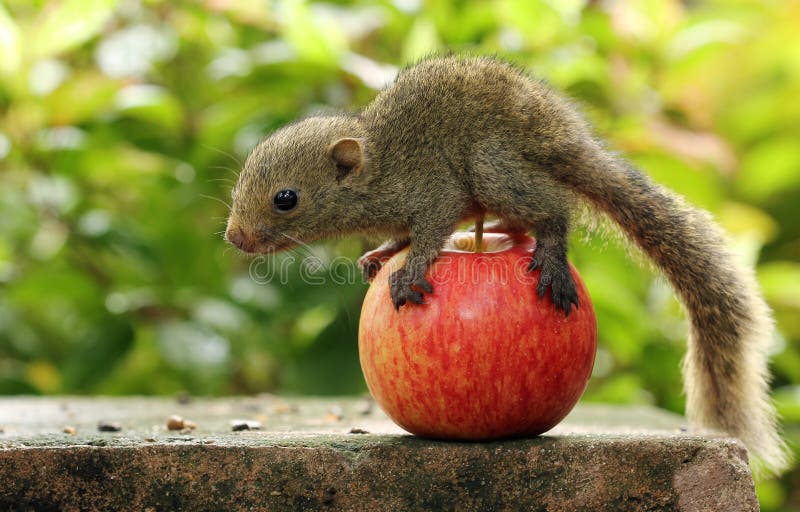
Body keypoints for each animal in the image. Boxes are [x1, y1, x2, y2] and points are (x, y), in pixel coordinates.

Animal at [224, 55, 788, 474]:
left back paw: (552, 256)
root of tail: (567, 140)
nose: (233, 236)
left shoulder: (432, 189)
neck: (378, 171)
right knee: (519, 226)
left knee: (554, 211)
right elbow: (403, 234)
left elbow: (427, 232)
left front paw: (410, 269)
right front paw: (382, 253)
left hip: (493, 166)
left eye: (286, 199)